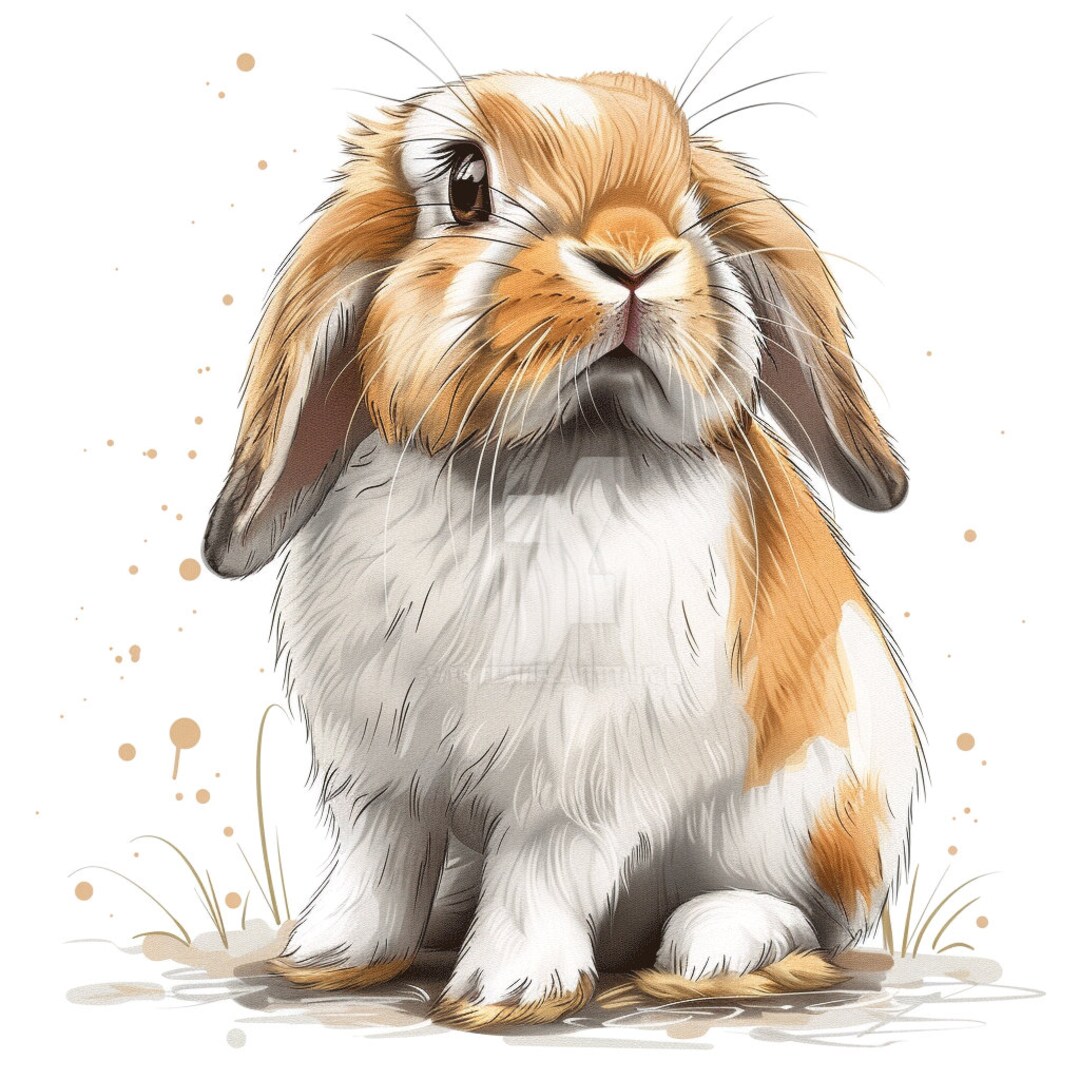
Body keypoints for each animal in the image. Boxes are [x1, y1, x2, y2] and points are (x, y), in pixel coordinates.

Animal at [204, 70, 924, 1029]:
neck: (547, 460)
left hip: (814, 812)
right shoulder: (381, 771)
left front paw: (507, 990)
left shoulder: (581, 777)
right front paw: (328, 955)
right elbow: (380, 858)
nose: (633, 252)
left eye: (692, 197)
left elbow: (540, 868)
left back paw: (715, 945)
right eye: (465, 185)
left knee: (800, 910)